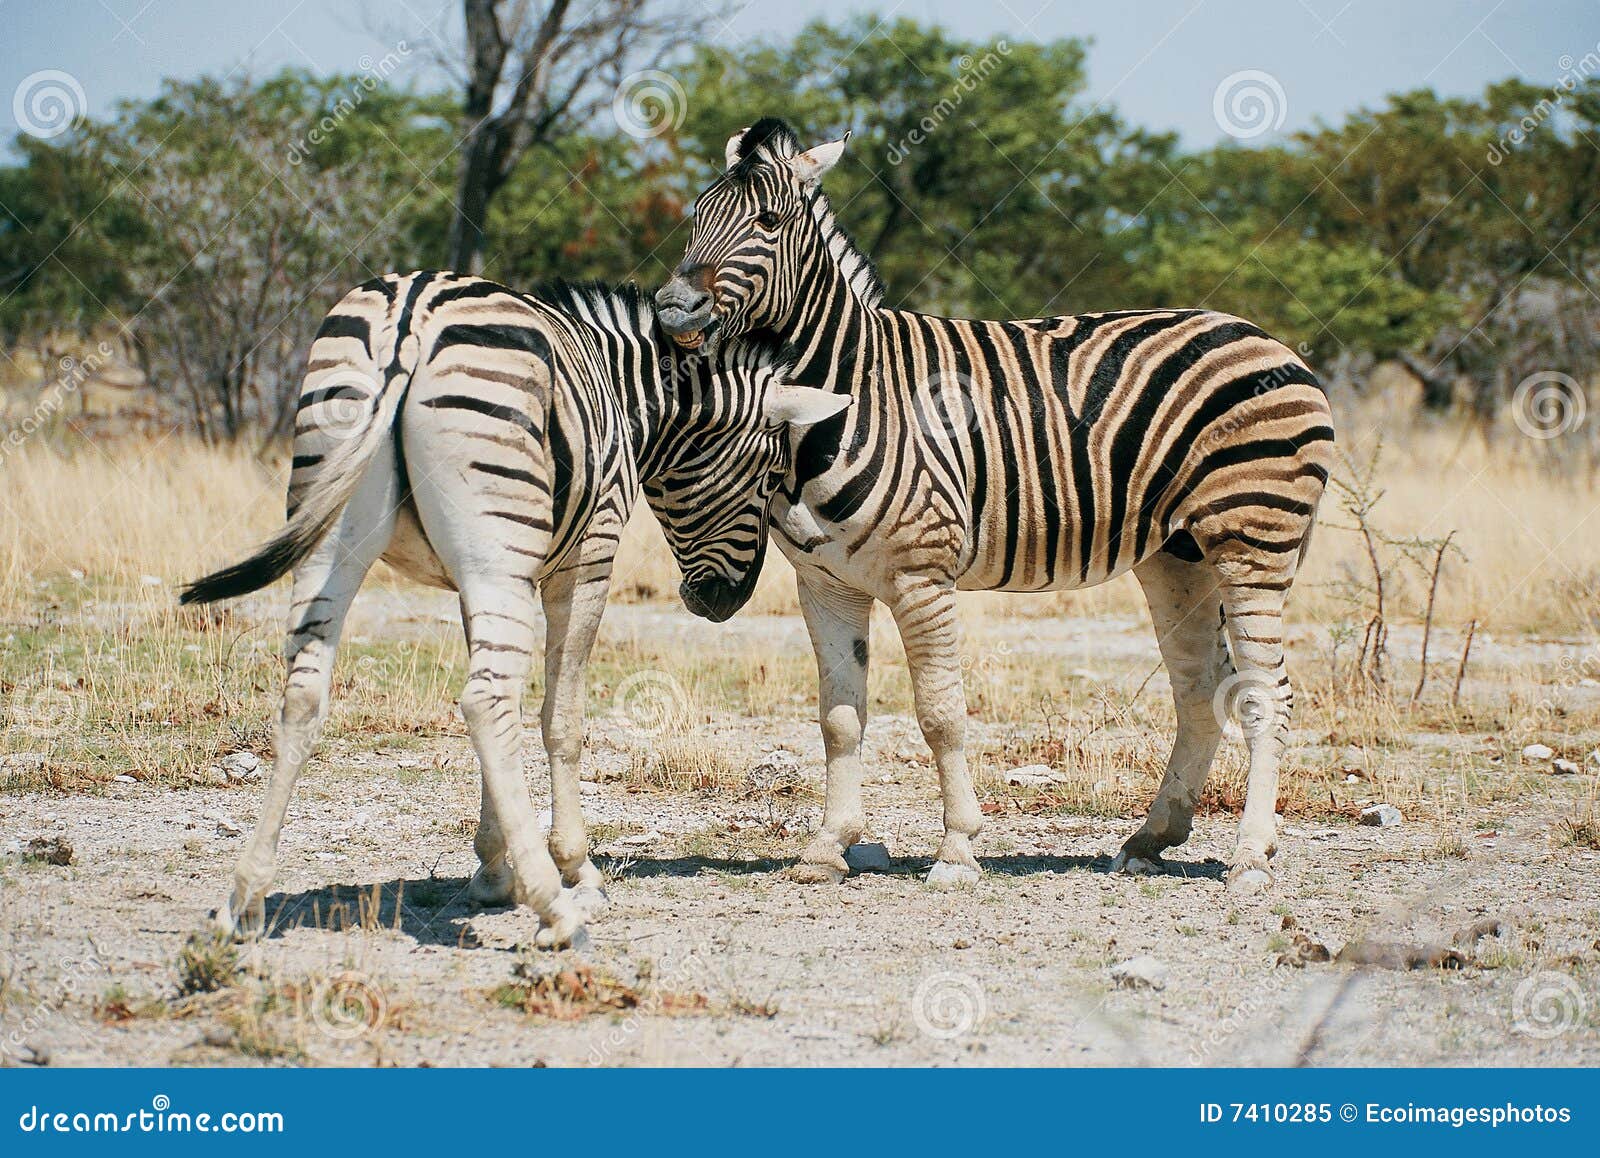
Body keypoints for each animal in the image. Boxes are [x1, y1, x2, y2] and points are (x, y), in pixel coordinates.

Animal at [182, 271, 848, 947]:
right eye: (770, 474)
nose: (724, 602)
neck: (628, 391)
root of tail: (410, 314)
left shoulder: (480, 579)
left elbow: (513, 720)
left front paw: (492, 866)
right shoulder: (587, 556)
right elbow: (559, 718)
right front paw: (574, 868)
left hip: (339, 539)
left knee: (306, 694)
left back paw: (244, 898)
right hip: (485, 538)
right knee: (484, 699)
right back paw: (557, 908)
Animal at [655, 119, 1335, 894]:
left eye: (768, 222)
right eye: (694, 214)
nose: (671, 311)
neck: (845, 393)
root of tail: (1273, 341)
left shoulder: (922, 576)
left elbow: (941, 714)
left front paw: (956, 849)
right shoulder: (824, 585)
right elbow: (840, 717)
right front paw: (826, 848)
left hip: (1253, 541)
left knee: (1265, 692)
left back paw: (1251, 854)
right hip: (1178, 555)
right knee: (1201, 689)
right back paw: (1154, 836)